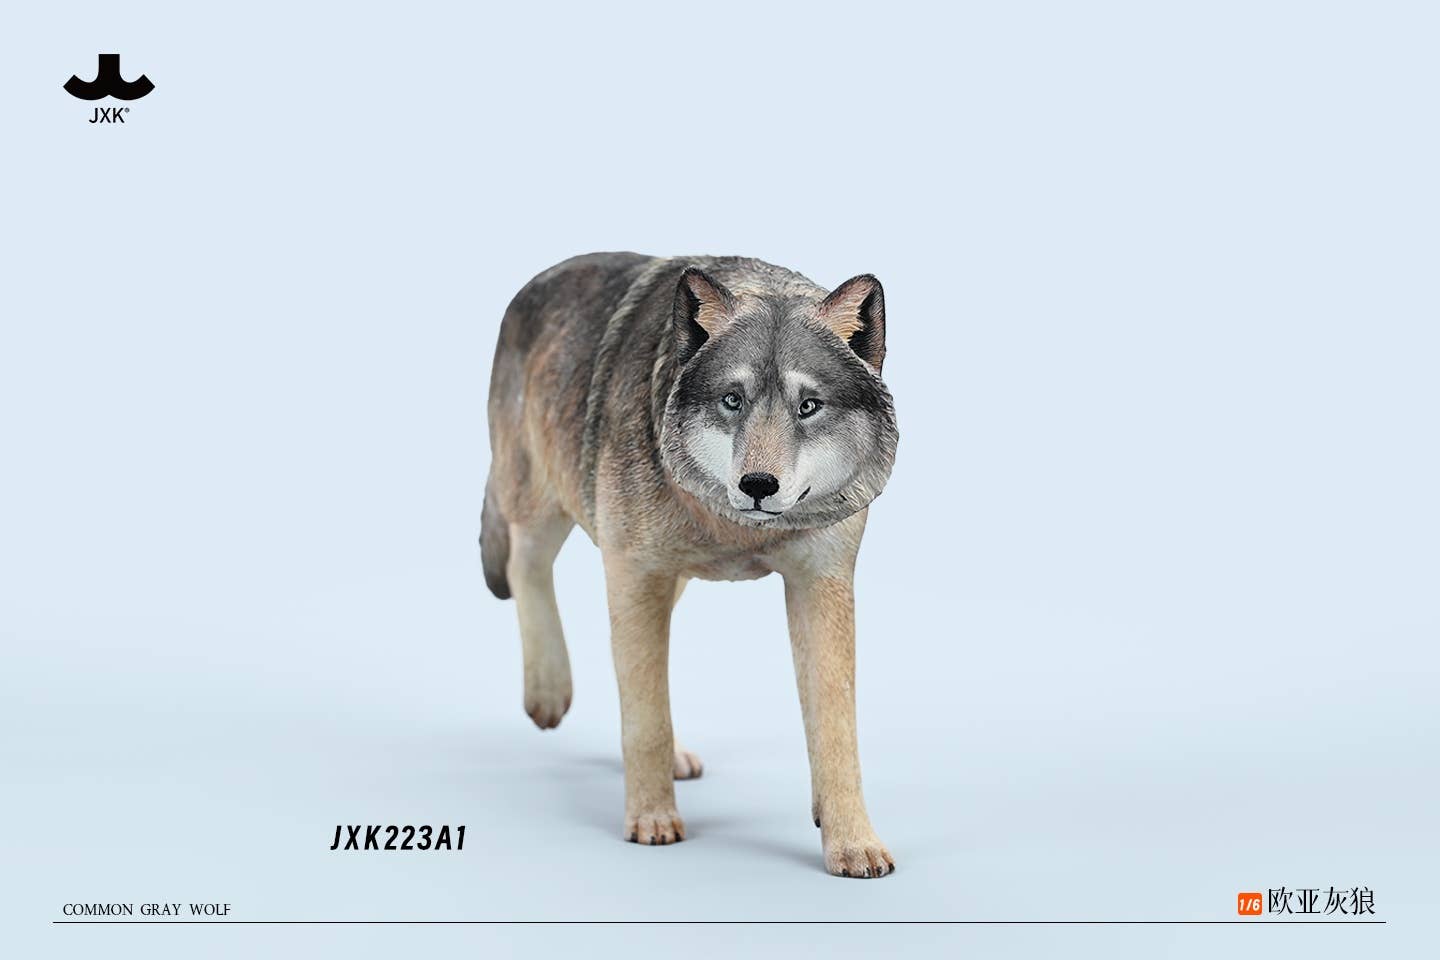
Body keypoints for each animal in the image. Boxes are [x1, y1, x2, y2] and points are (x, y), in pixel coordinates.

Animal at [480, 253, 899, 877]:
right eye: (733, 400)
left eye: (808, 406)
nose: (757, 485)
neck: (732, 527)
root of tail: (534, 283)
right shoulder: (633, 572)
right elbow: (646, 719)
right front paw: (652, 820)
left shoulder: (820, 584)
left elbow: (834, 728)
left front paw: (851, 842)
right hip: (544, 501)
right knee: (525, 564)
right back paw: (548, 694)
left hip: (664, 580)